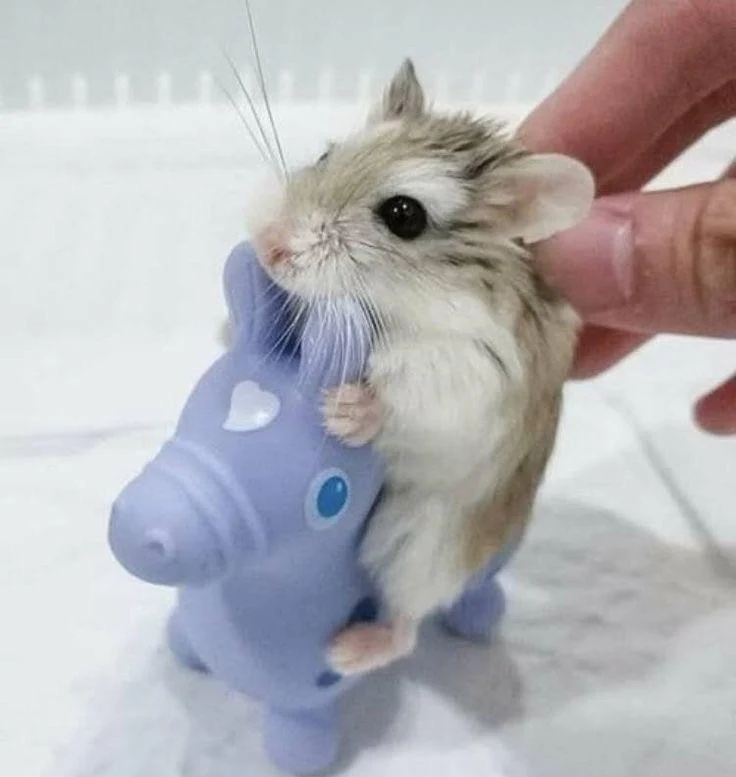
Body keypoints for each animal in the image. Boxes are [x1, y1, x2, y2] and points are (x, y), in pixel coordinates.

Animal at [249, 59, 594, 675]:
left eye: (403, 215)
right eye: (327, 155)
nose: (266, 246)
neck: (406, 304)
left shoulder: (475, 370)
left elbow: (410, 388)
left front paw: (343, 411)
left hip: (423, 544)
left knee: (407, 628)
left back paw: (346, 651)